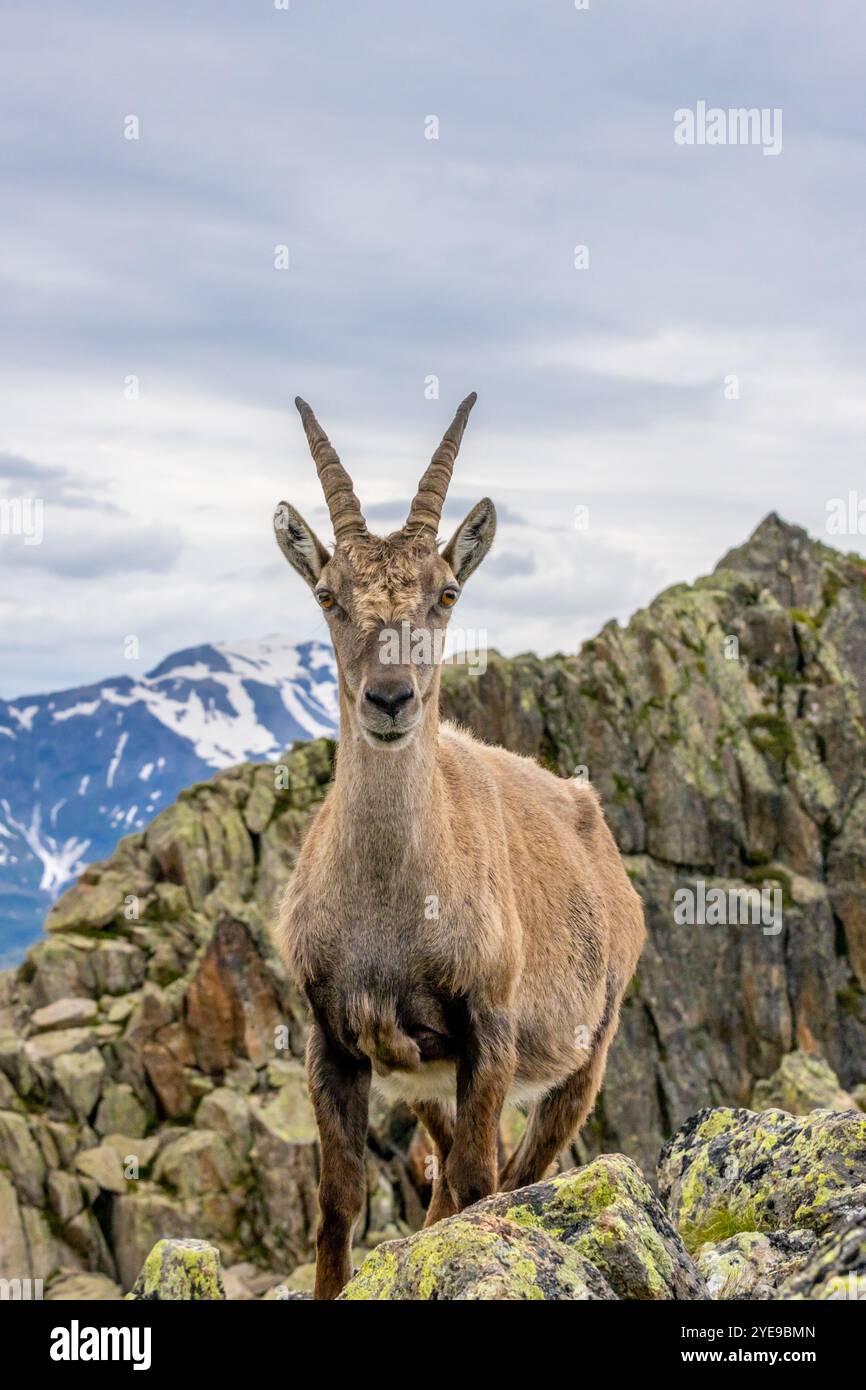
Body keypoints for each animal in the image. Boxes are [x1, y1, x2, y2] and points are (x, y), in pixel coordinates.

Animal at [272, 394, 645, 1299]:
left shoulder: (489, 1027)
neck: (391, 913)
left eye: (445, 592)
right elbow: (339, 1199)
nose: (390, 697)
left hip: (584, 1053)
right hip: (423, 1083)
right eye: (328, 594)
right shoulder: (332, 1037)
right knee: (441, 1176)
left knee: (517, 1170)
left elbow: (481, 1184)